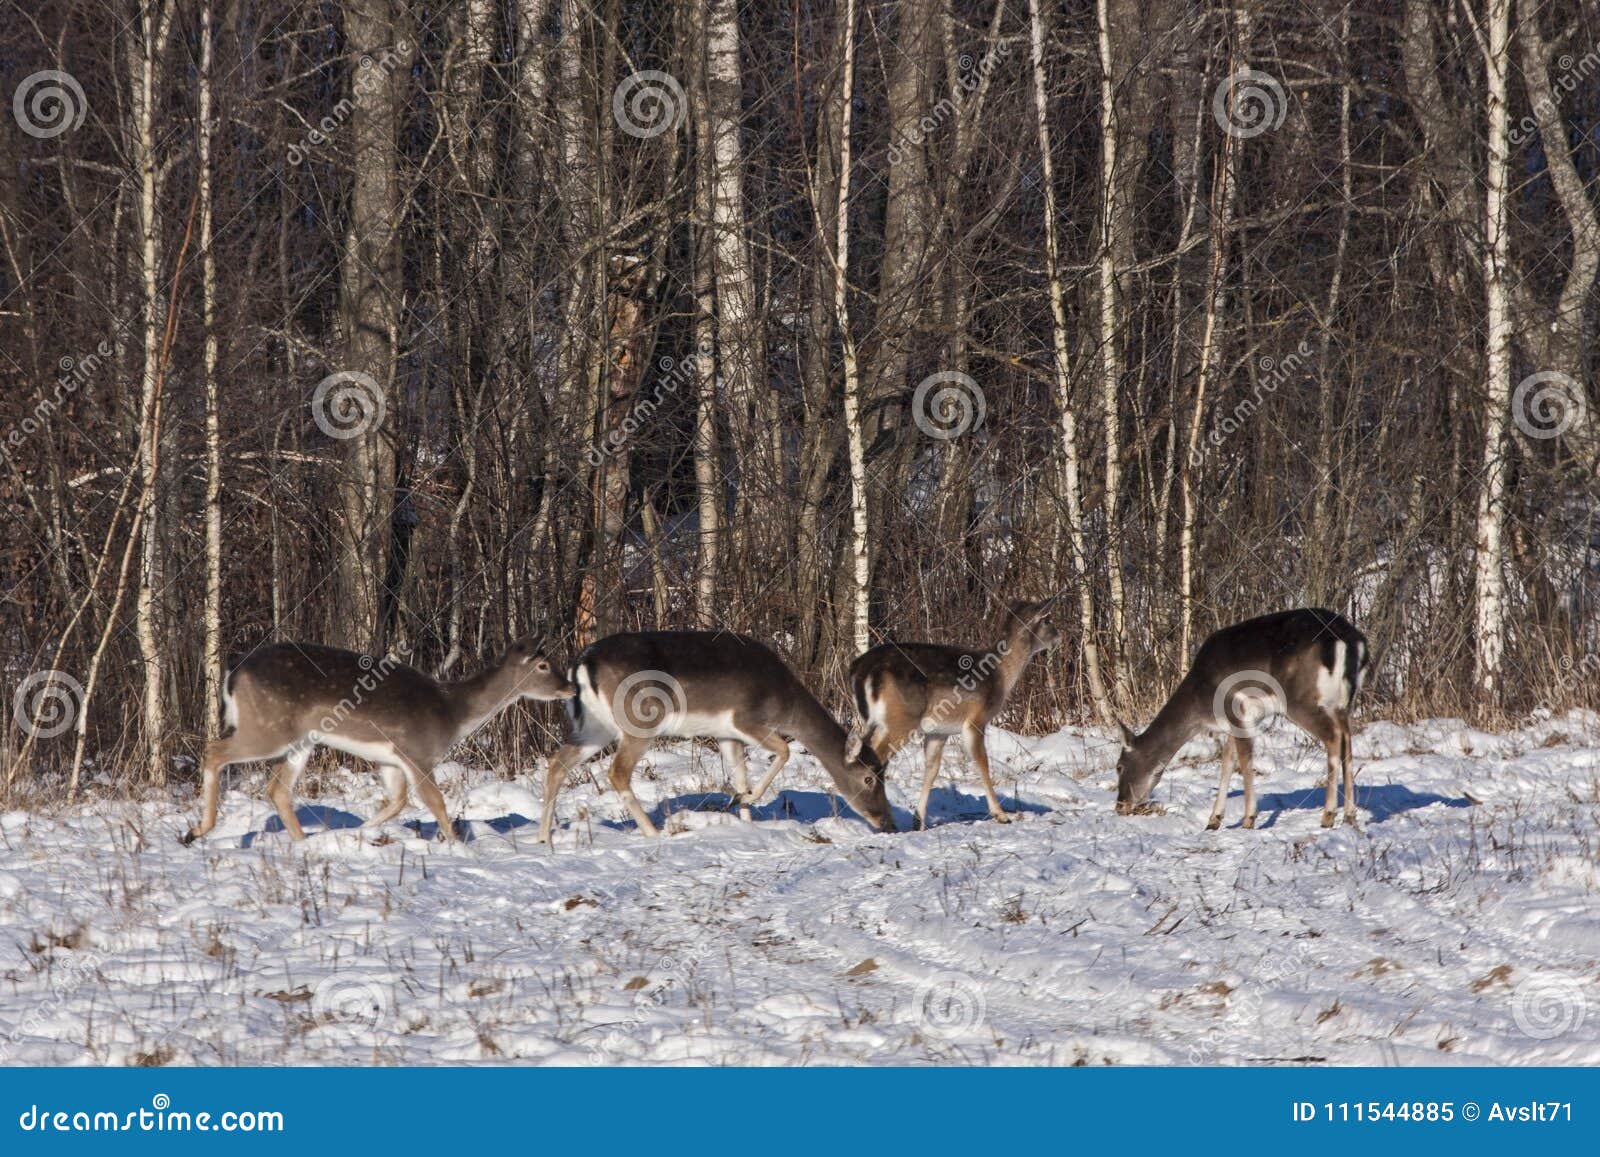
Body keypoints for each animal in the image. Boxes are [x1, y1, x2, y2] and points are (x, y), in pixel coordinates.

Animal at [182, 639, 574, 845]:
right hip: (268, 728)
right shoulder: (418, 751)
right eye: (543, 666)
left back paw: (303, 843)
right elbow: (435, 802)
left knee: (277, 790)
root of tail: (232, 676)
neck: (453, 714)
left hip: (299, 741)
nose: (569, 686)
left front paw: (360, 831)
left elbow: (398, 801)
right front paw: (455, 845)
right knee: (214, 752)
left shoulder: (390, 759)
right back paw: (198, 829)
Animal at [537, 631, 896, 845]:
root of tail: (583, 662)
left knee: (557, 764)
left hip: (593, 727)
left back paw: (544, 838)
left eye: (884, 775)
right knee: (617, 771)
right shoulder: (746, 719)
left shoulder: (726, 735)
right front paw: (746, 799)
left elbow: (740, 774)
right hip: (639, 721)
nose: (888, 822)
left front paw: (744, 812)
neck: (785, 702)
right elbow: (784, 751)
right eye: (868, 778)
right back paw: (653, 832)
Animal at [846, 600, 1063, 829]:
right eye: (1048, 619)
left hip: (872, 721)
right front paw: (1001, 815)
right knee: (874, 758)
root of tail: (860, 669)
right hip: (900, 719)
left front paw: (918, 821)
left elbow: (932, 770)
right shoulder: (976, 719)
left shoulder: (938, 732)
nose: (1060, 635)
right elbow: (982, 763)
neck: (1001, 677)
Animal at [1114, 607, 1370, 830]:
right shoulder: (1233, 723)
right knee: (1347, 739)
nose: (1120, 806)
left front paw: (1248, 818)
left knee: (1333, 736)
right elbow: (1227, 762)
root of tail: (1349, 640)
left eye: (1119, 767)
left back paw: (1328, 815)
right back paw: (1349, 815)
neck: (1201, 701)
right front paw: (1214, 820)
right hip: (1344, 702)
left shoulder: (1235, 709)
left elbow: (1245, 762)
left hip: (1300, 698)